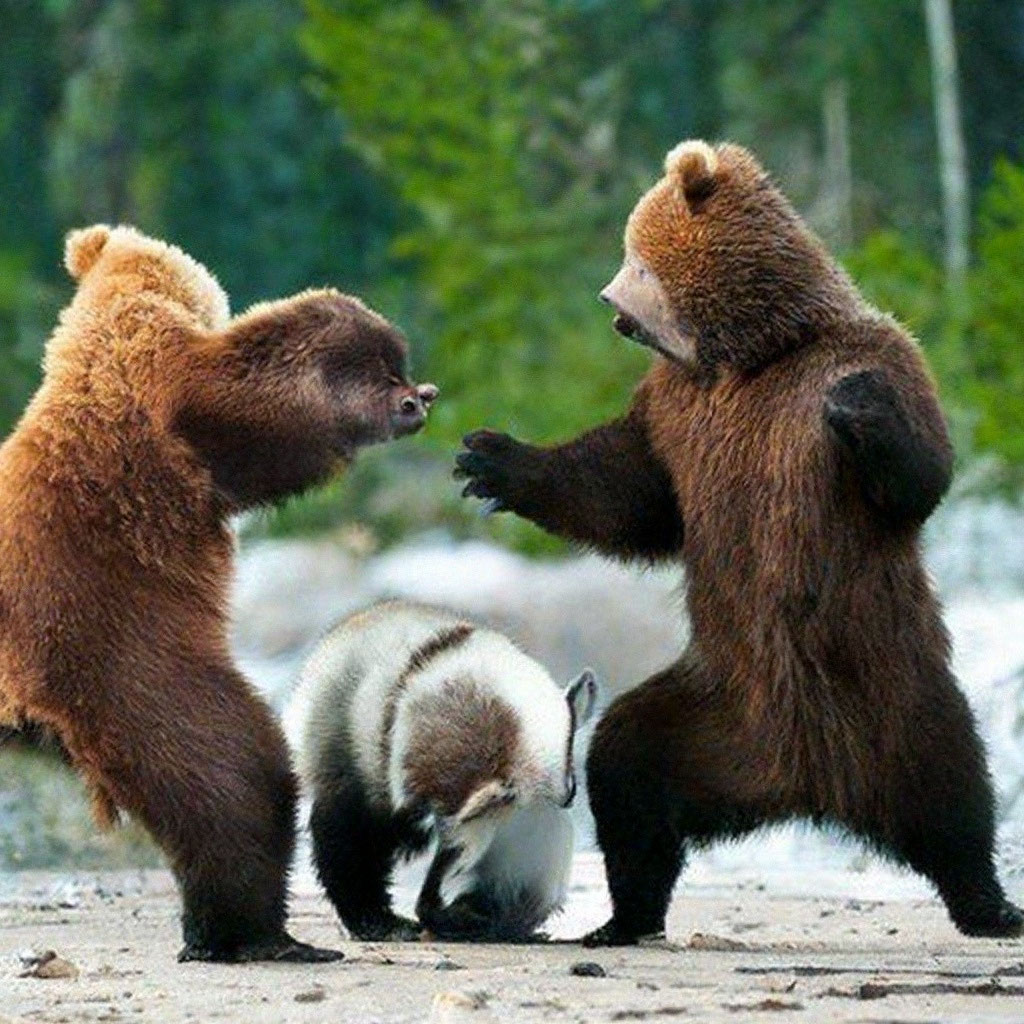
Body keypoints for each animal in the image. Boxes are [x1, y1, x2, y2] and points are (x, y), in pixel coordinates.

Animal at [0, 224, 437, 962]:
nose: (419, 392)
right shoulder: (171, 420)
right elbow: (265, 406)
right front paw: (372, 365)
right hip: (112, 664)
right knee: (229, 775)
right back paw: (254, 934)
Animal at [455, 140, 1023, 944]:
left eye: (635, 258)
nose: (609, 303)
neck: (750, 358)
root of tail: (809, 788)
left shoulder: (869, 359)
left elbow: (922, 469)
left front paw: (861, 406)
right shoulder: (677, 414)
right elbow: (631, 493)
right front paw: (491, 458)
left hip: (890, 690)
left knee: (951, 794)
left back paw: (989, 905)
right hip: (717, 715)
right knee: (628, 774)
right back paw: (623, 917)